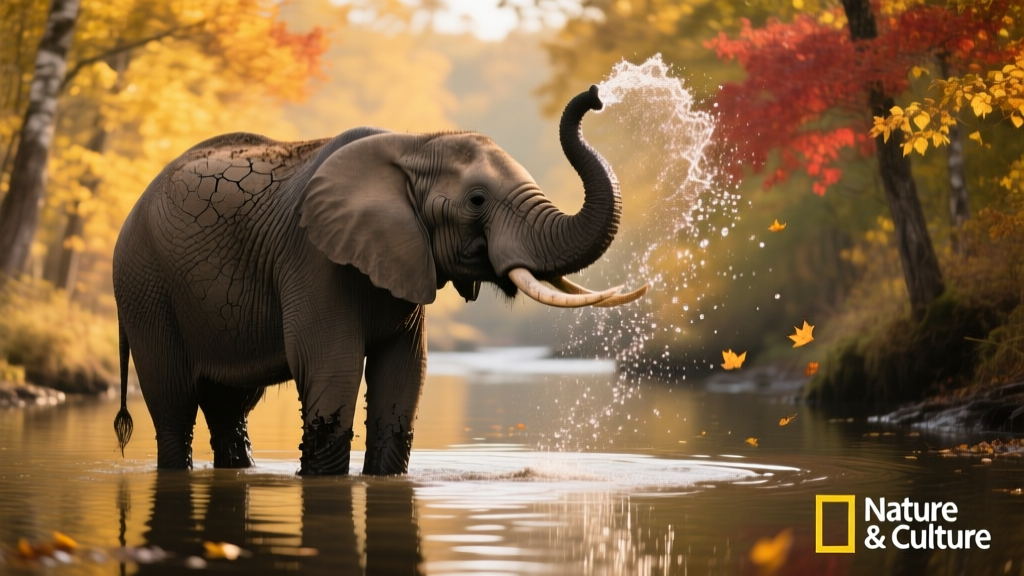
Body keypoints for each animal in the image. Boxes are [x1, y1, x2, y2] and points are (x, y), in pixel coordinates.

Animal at [111, 86, 647, 475]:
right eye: (476, 201)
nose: (597, 93)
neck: (414, 144)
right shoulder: (313, 258)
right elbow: (334, 369)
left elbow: (405, 372)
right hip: (144, 286)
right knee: (174, 404)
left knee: (230, 406)